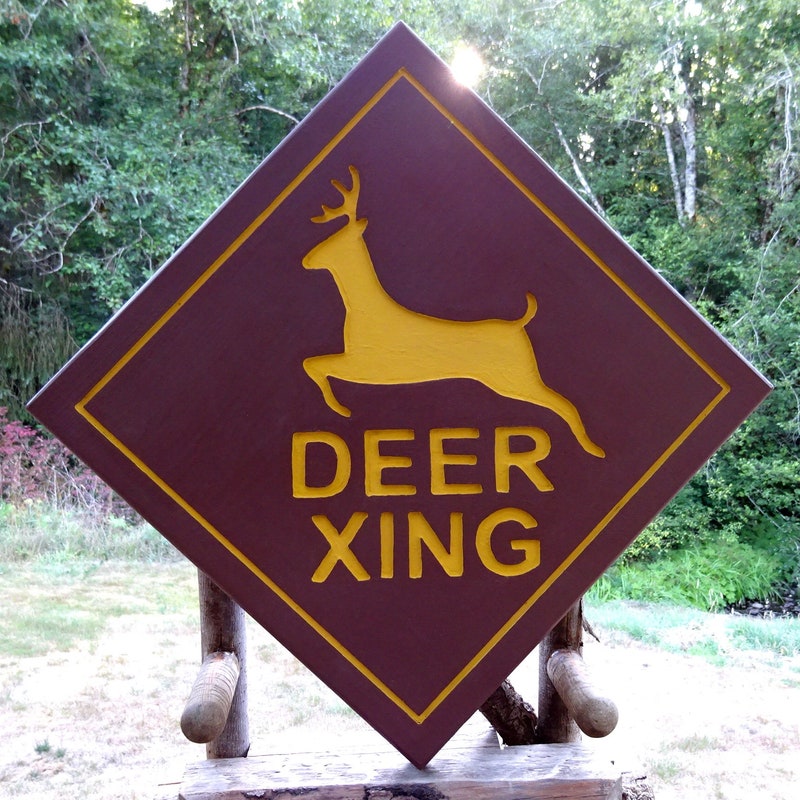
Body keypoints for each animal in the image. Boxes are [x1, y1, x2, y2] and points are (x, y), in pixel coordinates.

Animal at [301, 165, 605, 459]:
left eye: (335, 239)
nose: (306, 259)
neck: (364, 308)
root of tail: (517, 324)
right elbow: (312, 364)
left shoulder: (368, 363)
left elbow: (313, 364)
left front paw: (341, 408)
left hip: (514, 376)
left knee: (564, 403)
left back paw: (594, 448)